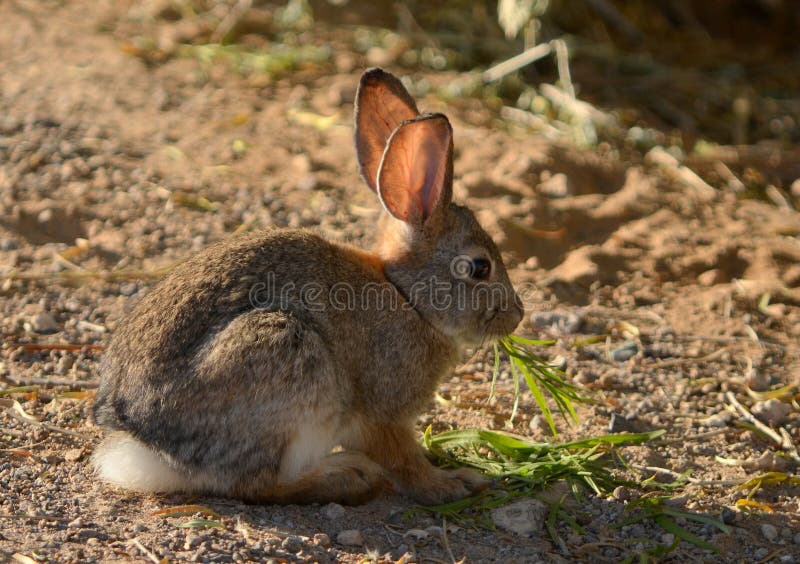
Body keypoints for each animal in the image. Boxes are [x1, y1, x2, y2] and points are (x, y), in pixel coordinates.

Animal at [91, 68, 524, 505]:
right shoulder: (382, 413)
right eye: (479, 267)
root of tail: (143, 443)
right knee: (257, 485)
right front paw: (452, 483)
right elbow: (403, 459)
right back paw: (347, 477)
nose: (517, 315)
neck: (407, 296)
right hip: (285, 360)